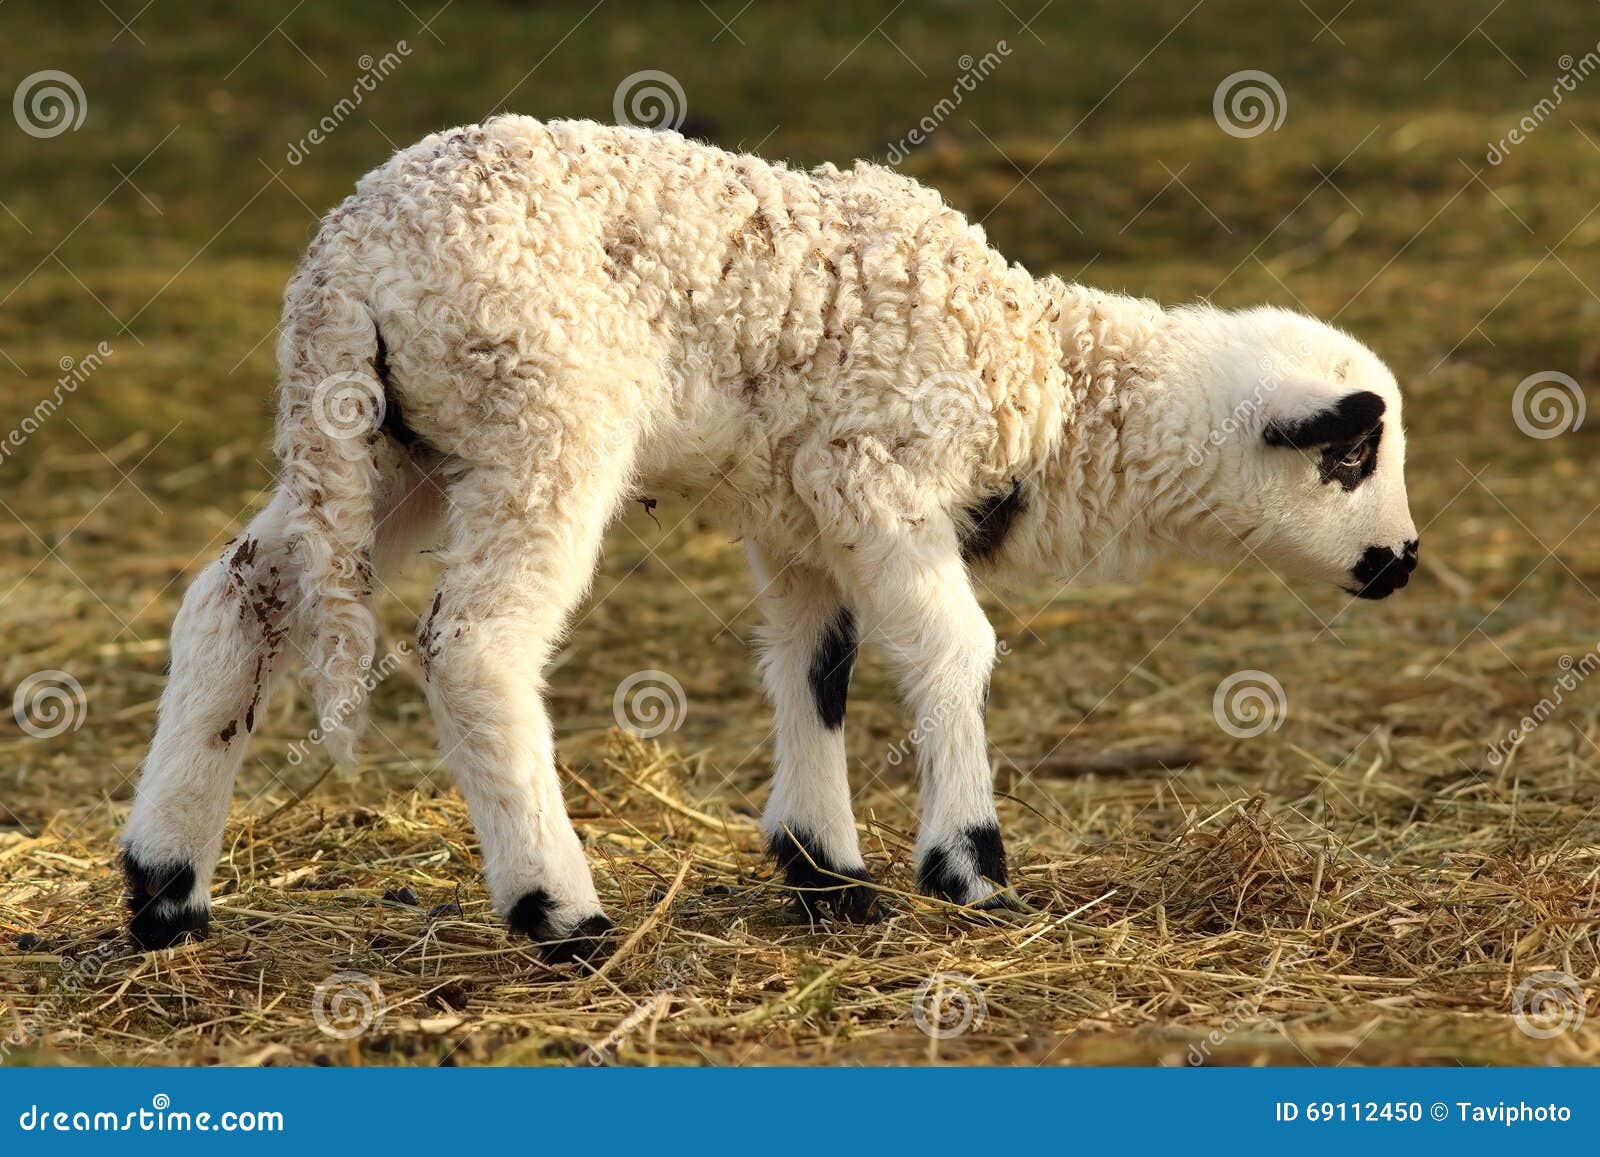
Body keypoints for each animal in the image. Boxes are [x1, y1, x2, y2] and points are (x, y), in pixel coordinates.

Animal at [120, 117, 1419, 961]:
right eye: (1351, 454)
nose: (1402, 560)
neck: (1047, 382)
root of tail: (343, 264)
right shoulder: (877, 468)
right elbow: (951, 648)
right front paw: (968, 866)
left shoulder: (801, 509)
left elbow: (818, 664)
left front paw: (821, 866)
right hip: (541, 411)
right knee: (473, 645)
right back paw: (560, 910)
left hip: (383, 444)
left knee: (237, 598)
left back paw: (163, 890)